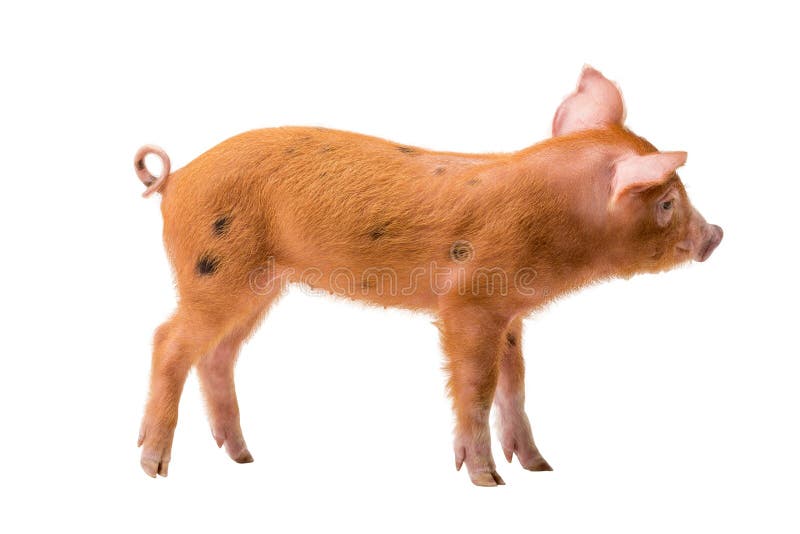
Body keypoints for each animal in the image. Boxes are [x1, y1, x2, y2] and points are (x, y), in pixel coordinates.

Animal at [135, 66, 722, 486]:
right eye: (667, 202)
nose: (716, 234)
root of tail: (175, 180)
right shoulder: (469, 303)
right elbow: (478, 385)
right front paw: (489, 481)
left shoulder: (509, 312)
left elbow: (515, 382)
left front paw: (540, 467)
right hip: (214, 270)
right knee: (168, 340)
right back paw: (155, 466)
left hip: (259, 283)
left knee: (217, 355)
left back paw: (245, 459)